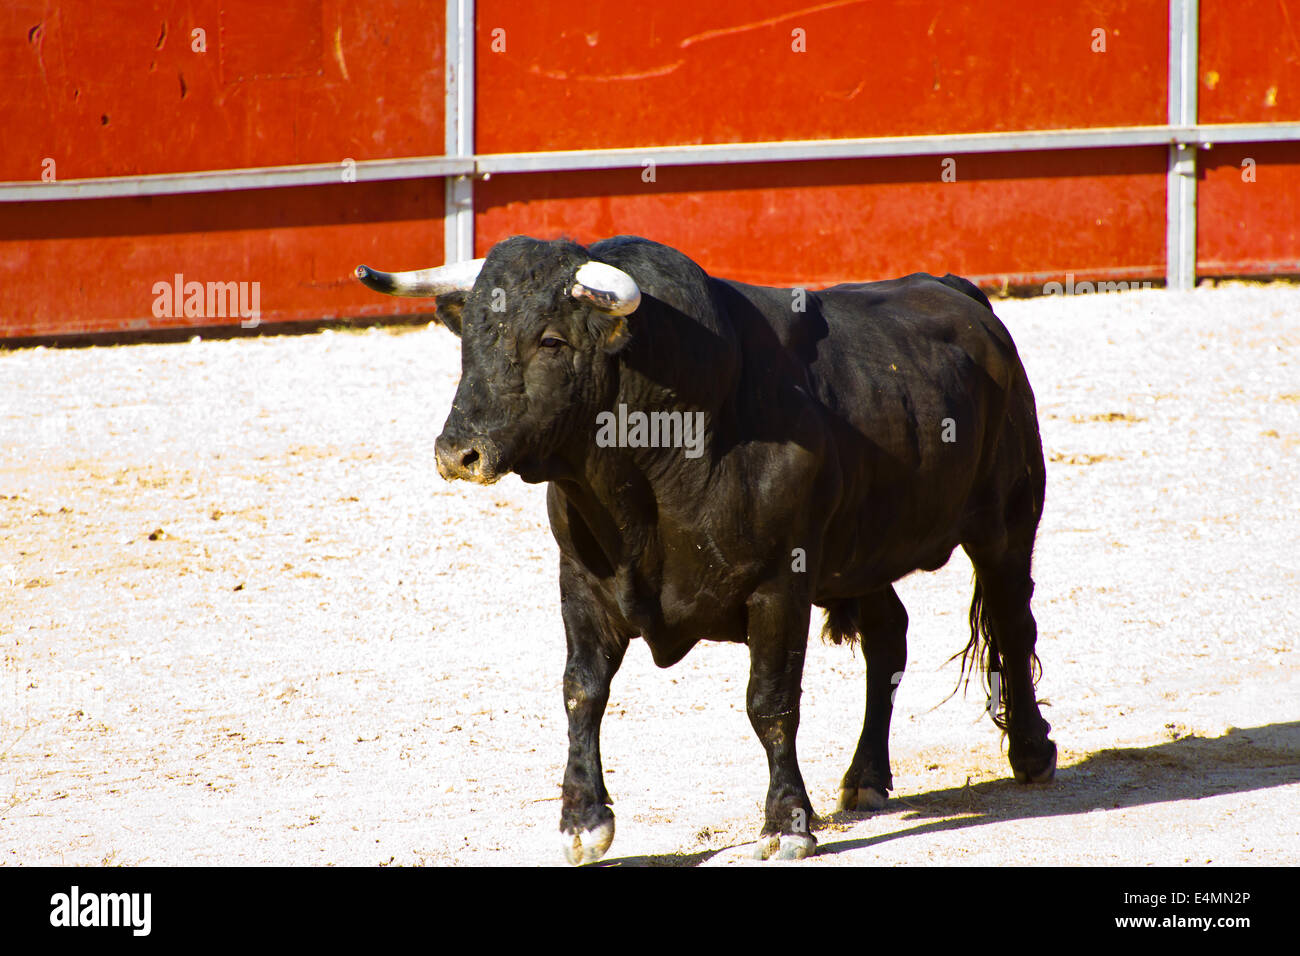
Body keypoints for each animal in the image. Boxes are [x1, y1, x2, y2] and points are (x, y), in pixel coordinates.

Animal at [355, 235, 1056, 864]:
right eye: (469, 340)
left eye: (552, 341)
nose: (458, 452)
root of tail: (958, 291)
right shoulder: (581, 580)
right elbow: (582, 690)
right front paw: (582, 821)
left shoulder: (780, 586)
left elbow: (770, 702)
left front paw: (788, 823)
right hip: (861, 554)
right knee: (889, 637)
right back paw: (864, 778)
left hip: (1007, 520)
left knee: (1012, 622)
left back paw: (1031, 751)